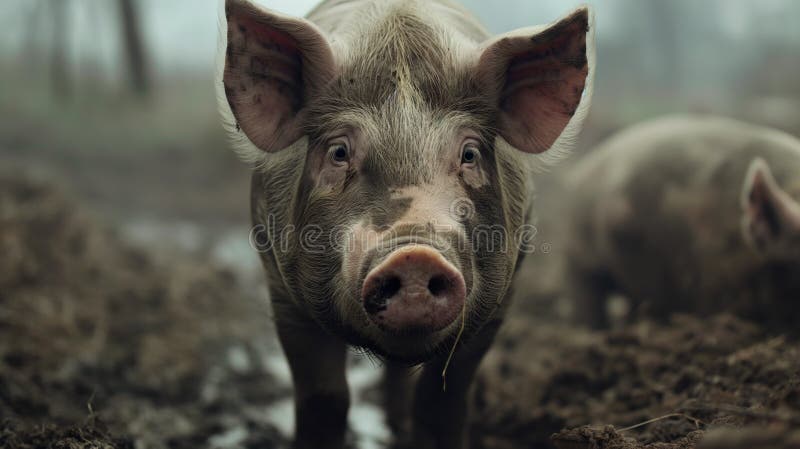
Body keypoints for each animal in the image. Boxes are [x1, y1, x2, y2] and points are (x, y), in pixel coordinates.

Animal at [217, 0, 595, 447]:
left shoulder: (501, 299)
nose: (415, 254)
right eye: (339, 152)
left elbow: (441, 400)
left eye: (469, 154)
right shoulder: (283, 291)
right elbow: (325, 397)